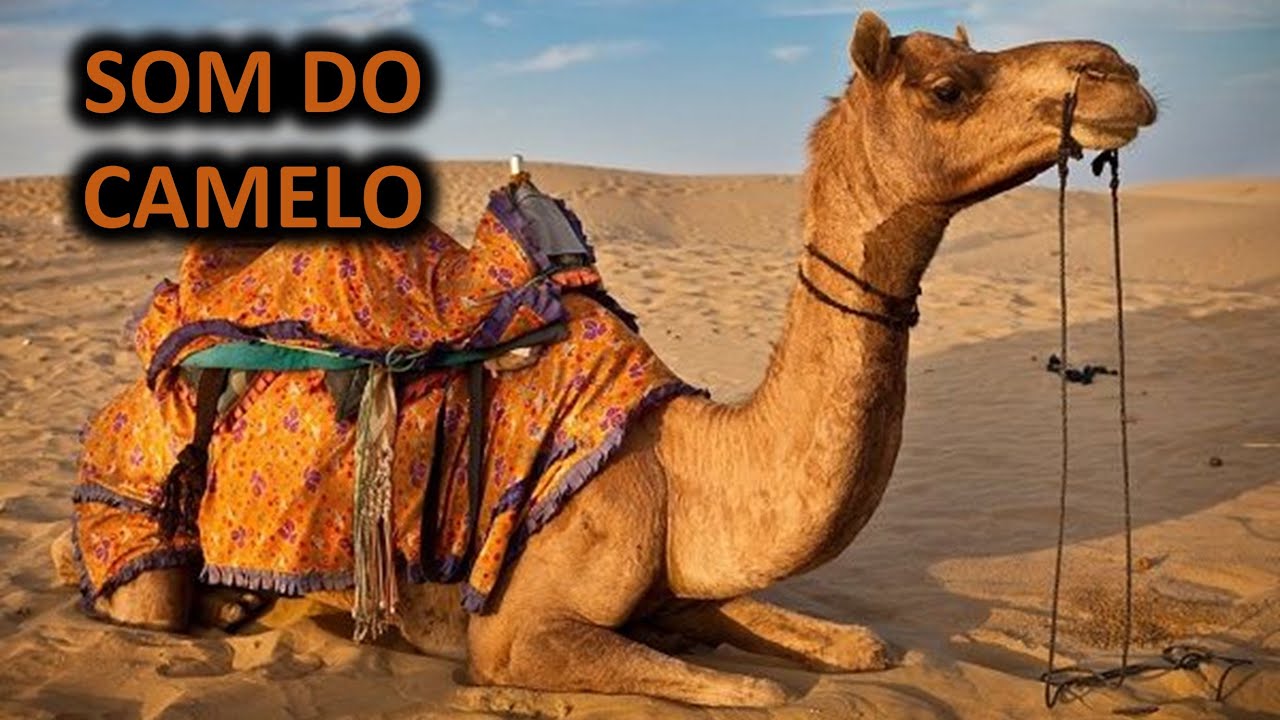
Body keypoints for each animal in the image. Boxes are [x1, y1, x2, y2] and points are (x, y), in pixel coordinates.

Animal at [54, 11, 1157, 708]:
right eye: (947, 87)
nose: (1120, 71)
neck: (682, 466)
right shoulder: (518, 630)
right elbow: (748, 686)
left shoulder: (685, 580)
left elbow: (855, 641)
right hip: (139, 519)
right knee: (137, 591)